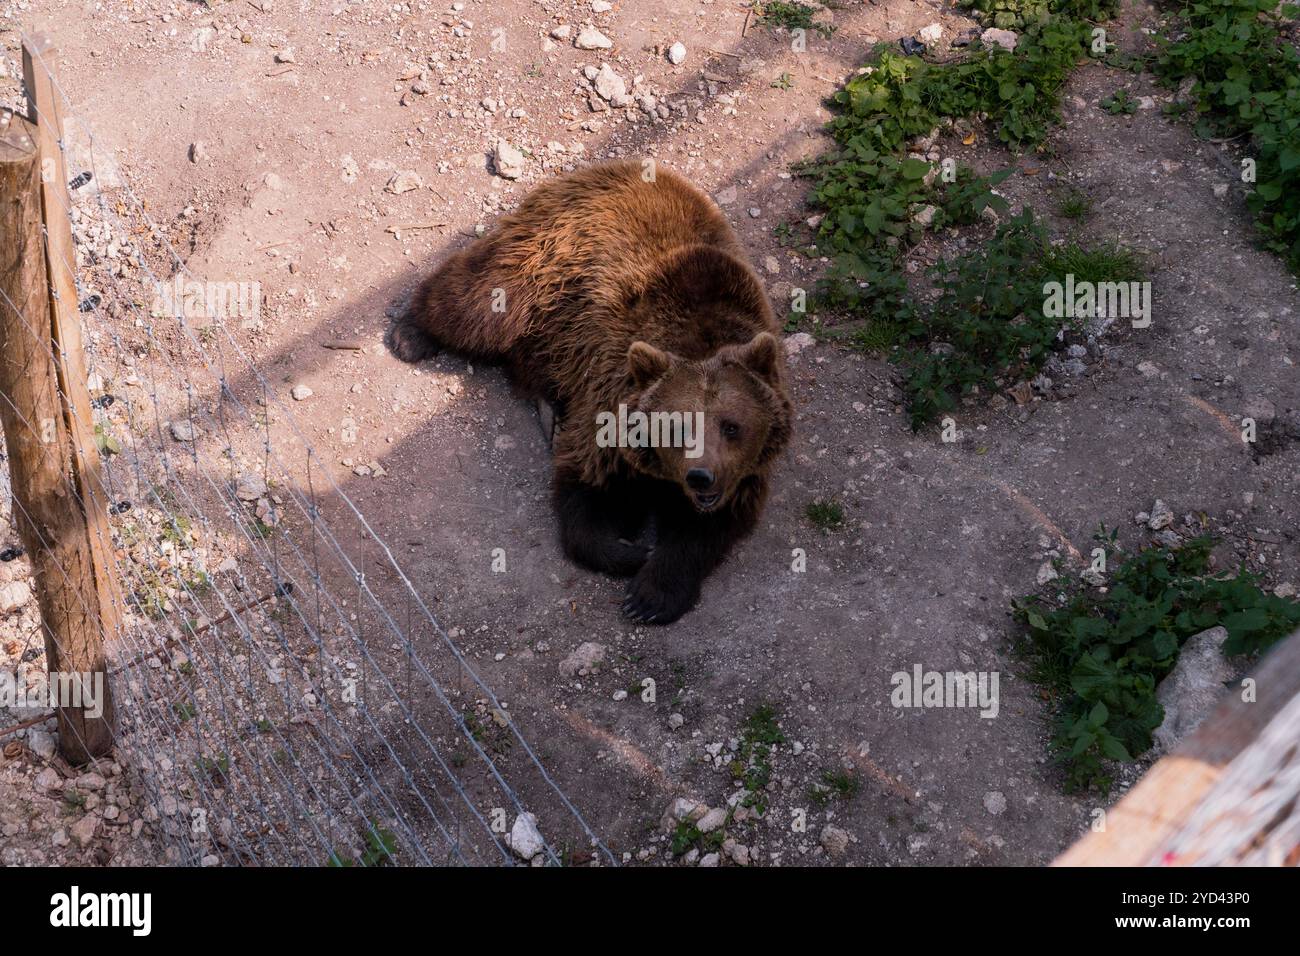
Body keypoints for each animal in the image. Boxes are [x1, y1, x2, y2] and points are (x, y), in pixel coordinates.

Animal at [386, 160, 792, 624]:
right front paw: (631, 552)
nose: (700, 475)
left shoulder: (742, 472)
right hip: (540, 267)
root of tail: (613, 167)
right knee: (475, 302)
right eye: (677, 426)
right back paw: (411, 334)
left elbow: (708, 529)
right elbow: (587, 493)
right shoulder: (609, 396)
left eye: (731, 426)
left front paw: (653, 595)